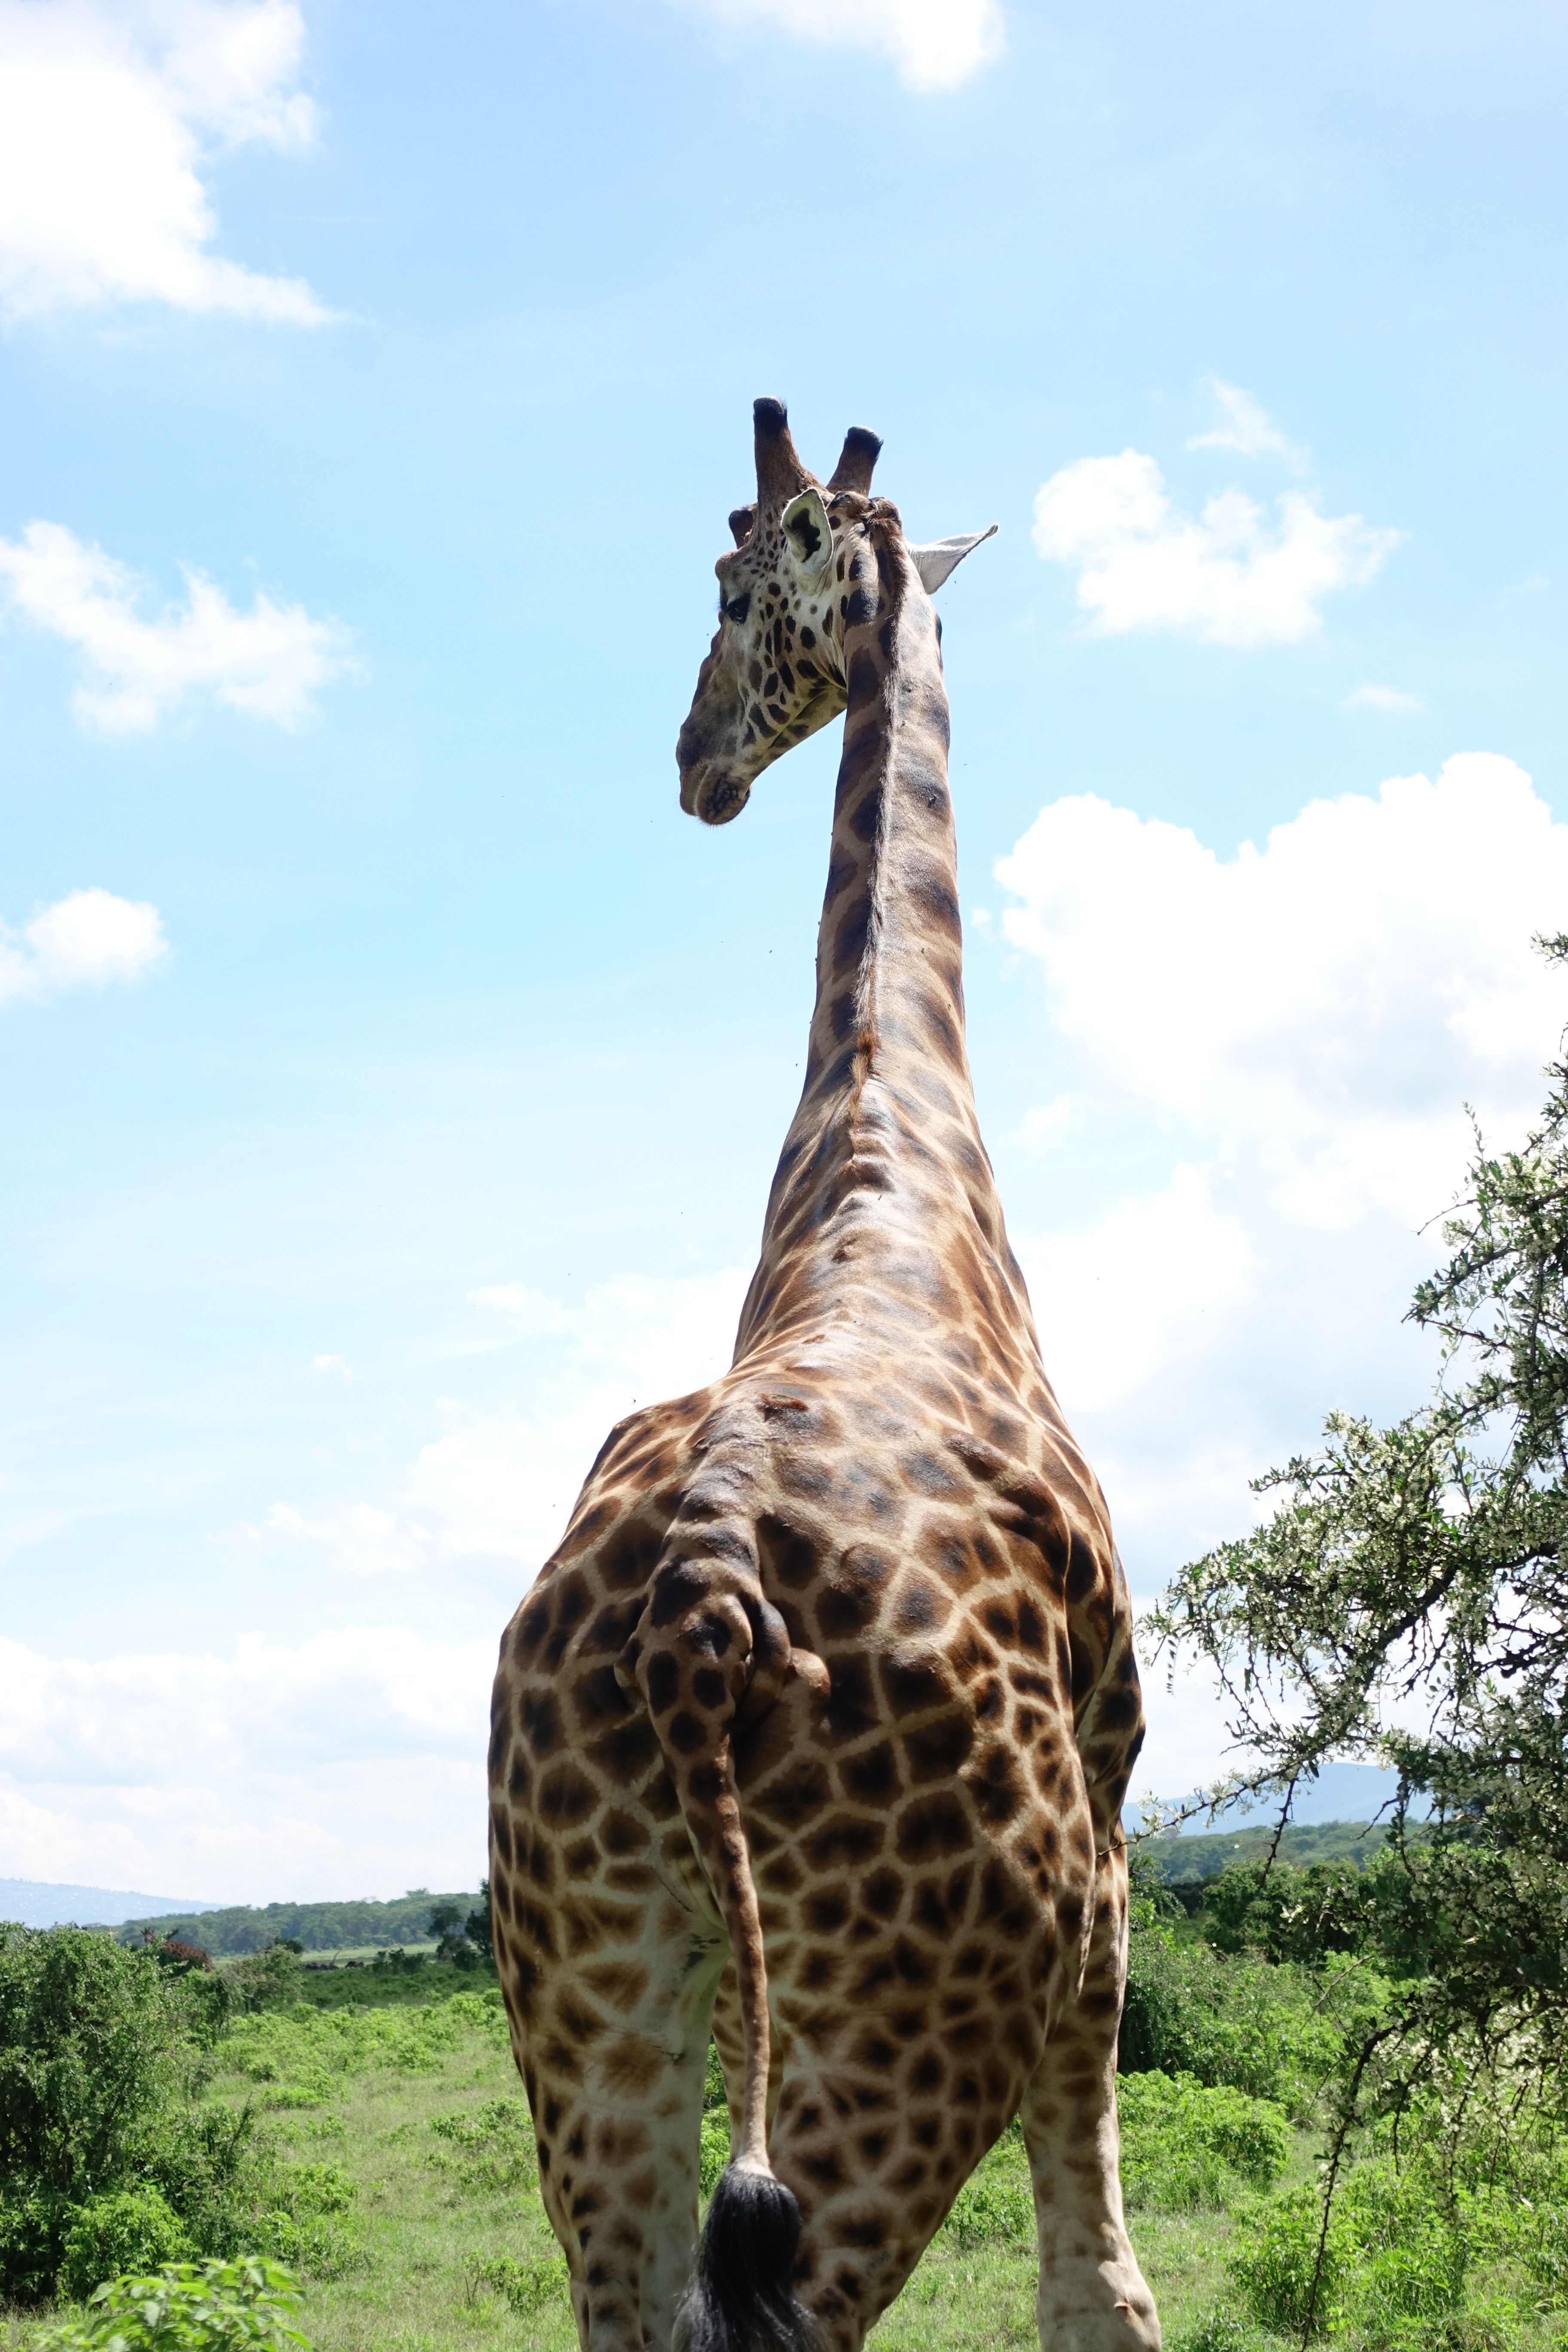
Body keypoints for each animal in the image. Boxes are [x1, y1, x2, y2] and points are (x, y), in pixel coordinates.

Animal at [488, 398, 1159, 2352]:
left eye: (728, 596)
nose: (696, 760)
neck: (884, 1149)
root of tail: (702, 1601)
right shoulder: (1107, 1871)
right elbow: (1099, 2283)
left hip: (584, 1971)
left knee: (631, 2304)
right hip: (921, 1997)